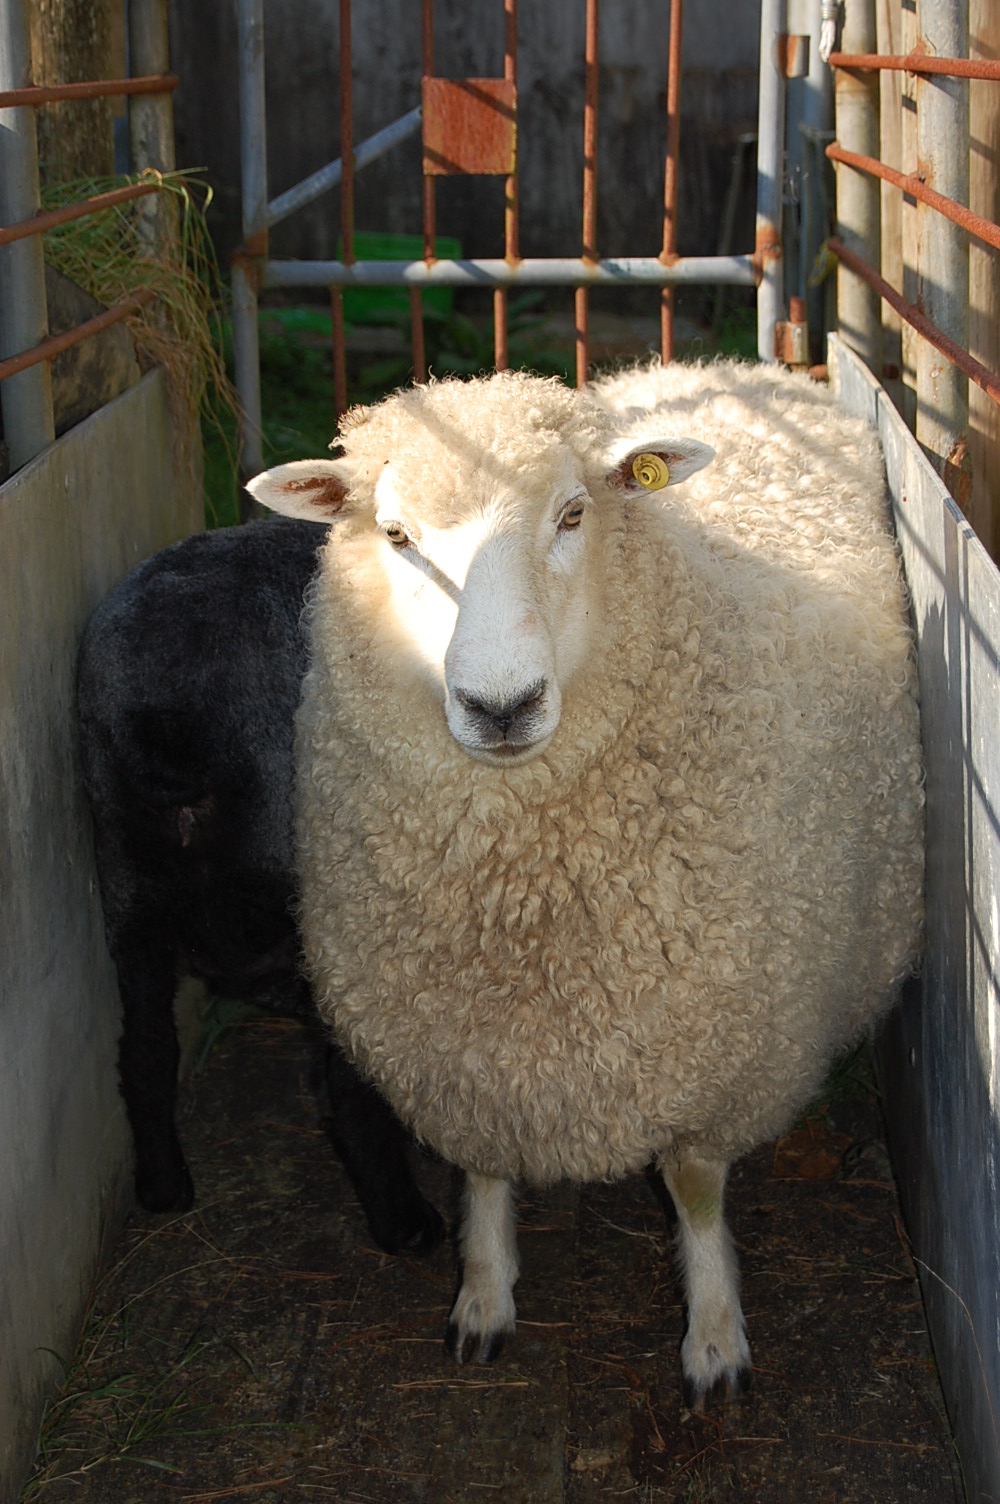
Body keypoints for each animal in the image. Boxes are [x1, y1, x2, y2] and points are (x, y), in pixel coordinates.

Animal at [76, 518, 442, 1255]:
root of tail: (162, 718)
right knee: (346, 1080)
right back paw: (405, 1223)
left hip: (132, 893)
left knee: (147, 1048)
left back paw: (164, 1187)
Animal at [246, 358, 925, 1407]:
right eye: (395, 536)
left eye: (572, 514)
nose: (501, 705)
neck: (525, 893)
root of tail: (731, 366)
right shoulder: (460, 1054)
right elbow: (482, 1174)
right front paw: (483, 1295)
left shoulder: (715, 1048)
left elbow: (694, 1189)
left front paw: (714, 1340)